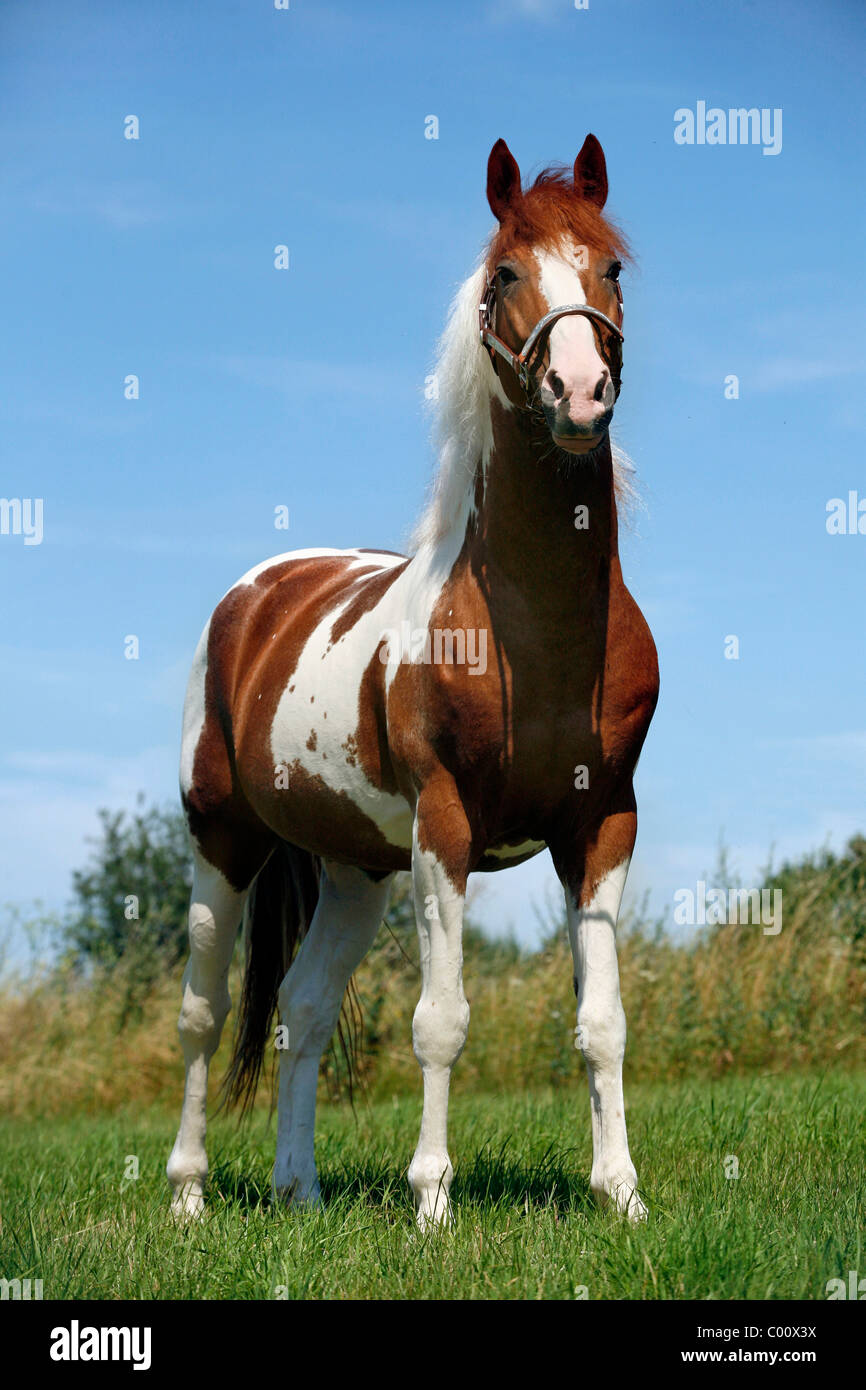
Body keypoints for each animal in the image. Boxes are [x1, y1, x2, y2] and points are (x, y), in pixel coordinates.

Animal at [167, 134, 659, 1227]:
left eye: (610, 266)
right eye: (506, 274)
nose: (578, 390)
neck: (529, 633)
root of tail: (253, 597)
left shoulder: (603, 823)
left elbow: (602, 1020)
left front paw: (620, 1193)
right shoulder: (446, 827)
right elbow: (441, 1020)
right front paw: (432, 1201)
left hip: (354, 872)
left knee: (302, 1010)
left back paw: (299, 1189)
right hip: (223, 840)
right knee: (202, 1013)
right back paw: (186, 1194)